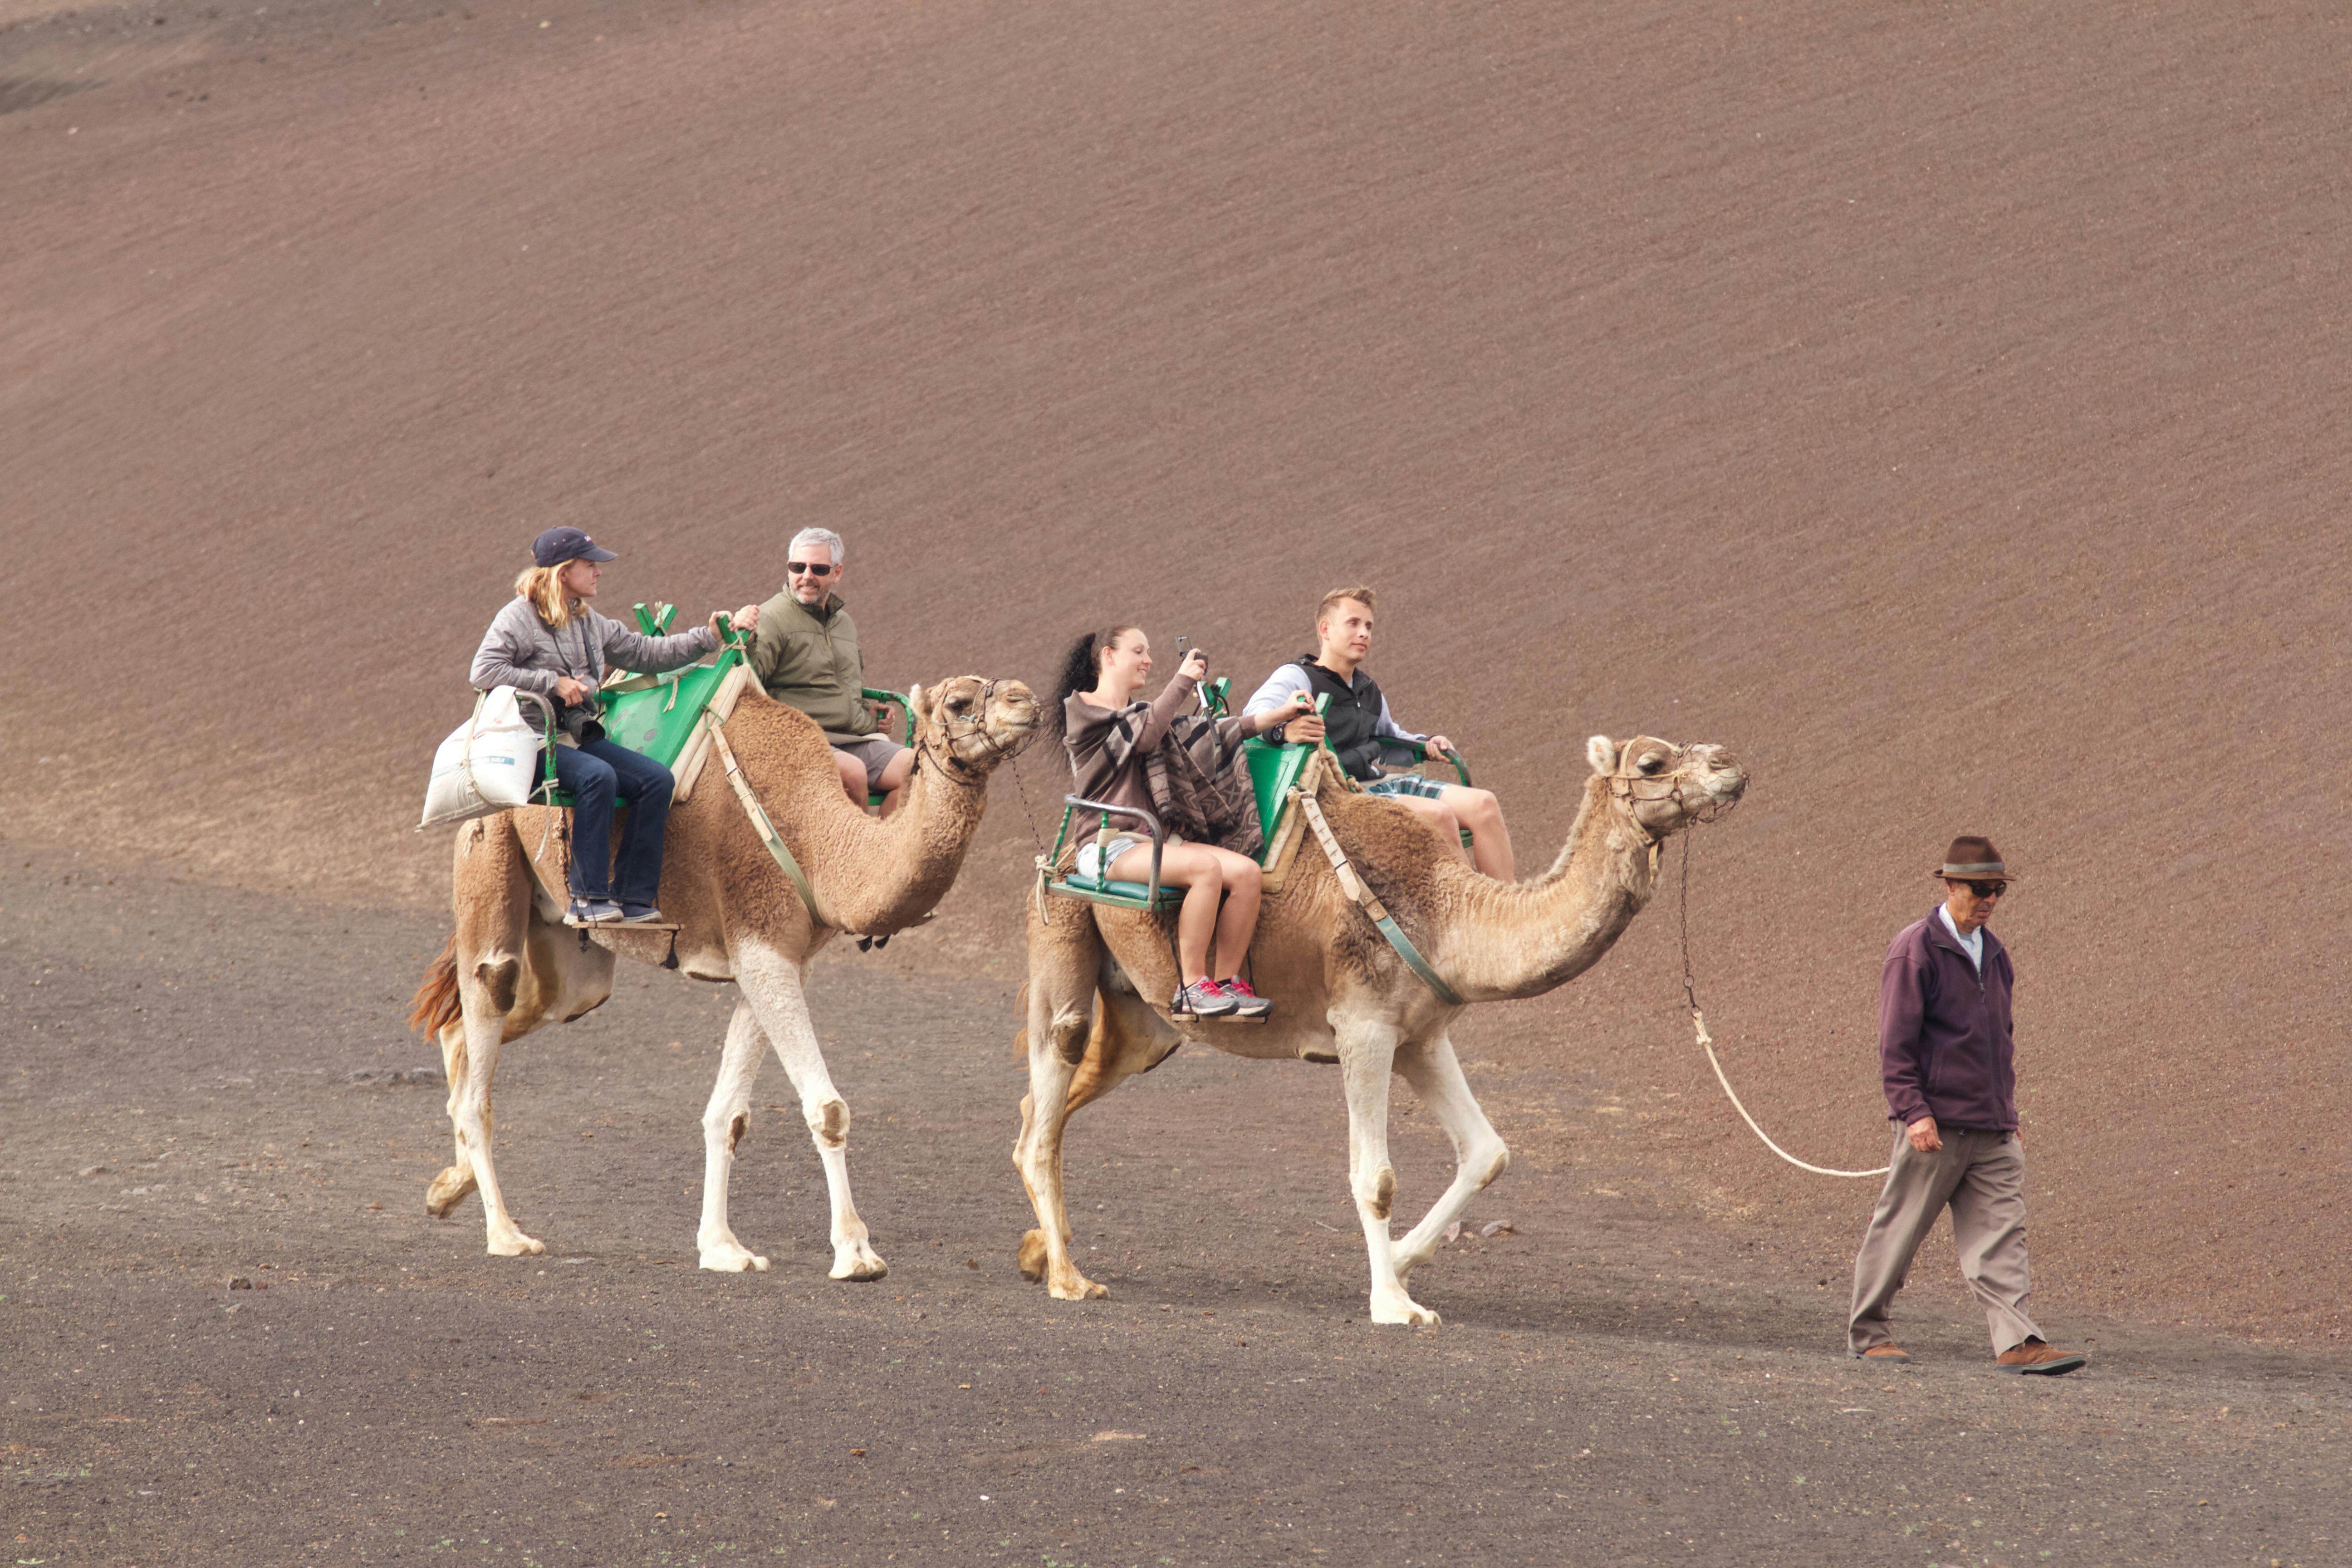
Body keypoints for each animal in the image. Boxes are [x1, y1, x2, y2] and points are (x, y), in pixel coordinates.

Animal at [407, 676, 1038, 1278]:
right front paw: (856, 1255)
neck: (818, 839)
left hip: (570, 956)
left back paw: (447, 1188)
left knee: (478, 1024)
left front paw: (723, 1249)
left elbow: (728, 1117)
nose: (1026, 701)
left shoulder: (778, 959)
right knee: (487, 1010)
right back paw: (506, 1234)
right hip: (489, 851)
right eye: (959, 702)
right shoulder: (761, 943)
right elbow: (828, 1110)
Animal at [1013, 733, 1744, 1325]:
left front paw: (1399, 1259)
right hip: (1062, 929)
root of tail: (1067, 848)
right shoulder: (1362, 1027)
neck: (1448, 915)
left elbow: (1488, 1152)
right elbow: (1378, 1177)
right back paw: (1071, 1280)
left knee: (1043, 1112)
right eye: (1652, 762)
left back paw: (1040, 1252)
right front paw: (1395, 1304)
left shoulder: (1421, 1035)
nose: (1731, 764)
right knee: (1055, 1071)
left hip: (1148, 1019)